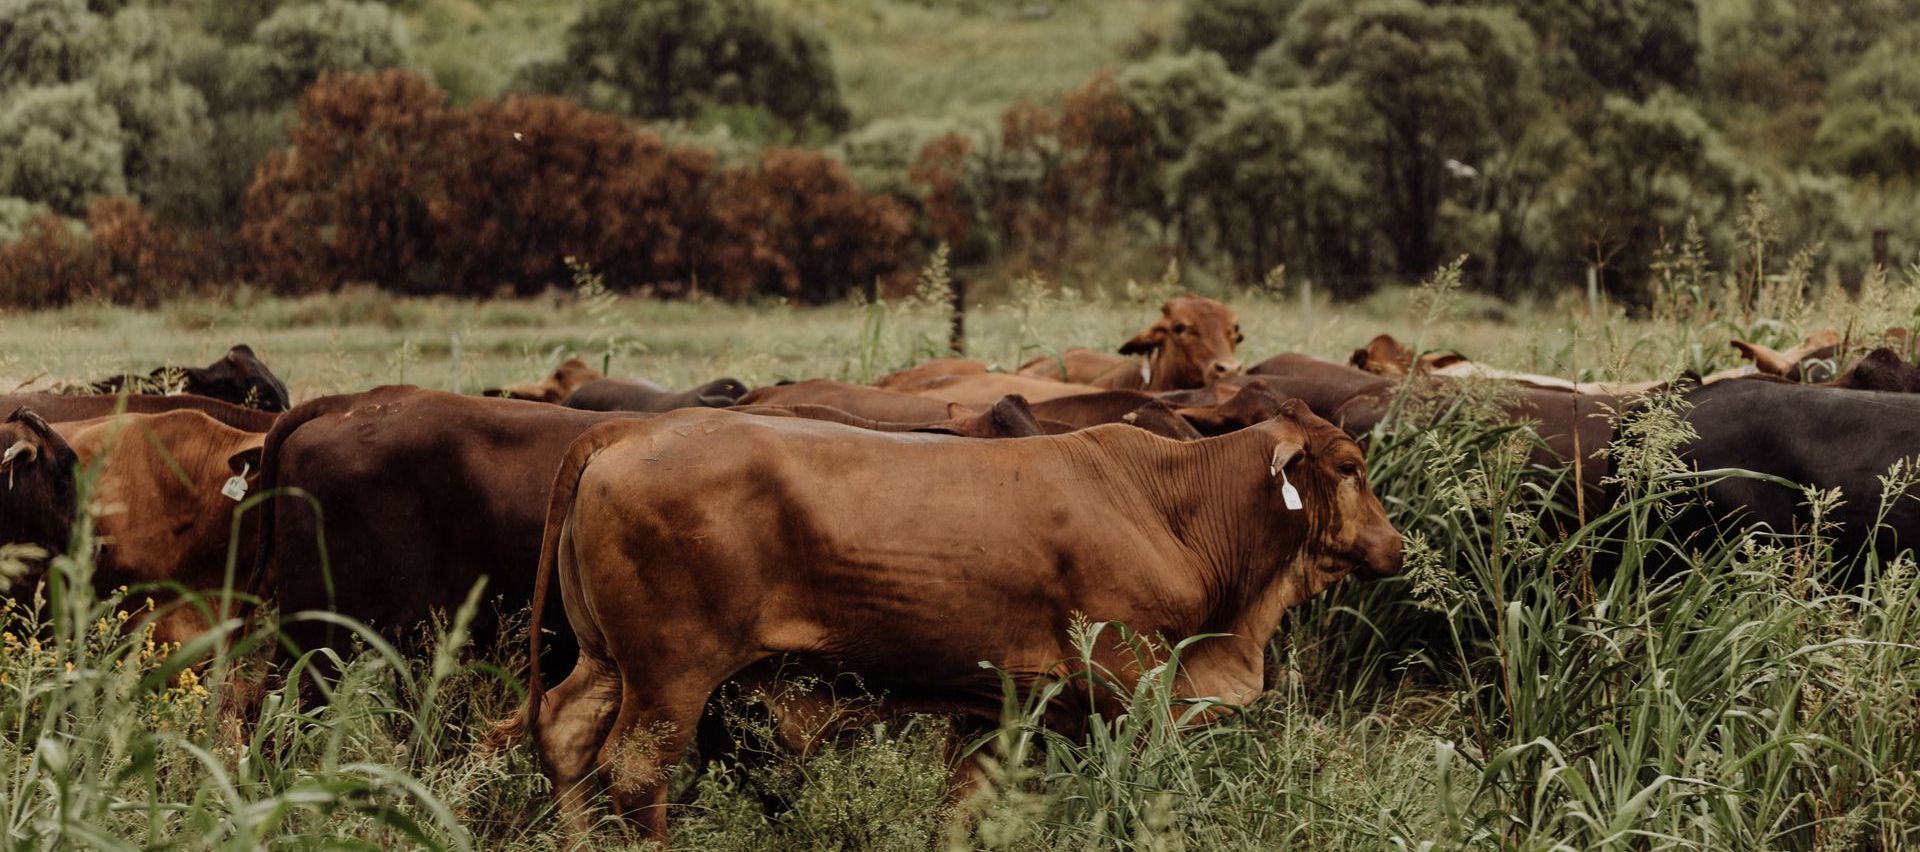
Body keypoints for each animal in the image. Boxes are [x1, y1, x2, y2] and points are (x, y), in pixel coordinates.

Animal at [491, 402, 1403, 838]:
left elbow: (964, 810)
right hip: (669, 678)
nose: (1395, 546)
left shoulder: (994, 706)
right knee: (634, 774)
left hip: (607, 662)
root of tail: (633, 427)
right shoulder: (1130, 689)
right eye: (1349, 467)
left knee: (564, 733)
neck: (1170, 504)